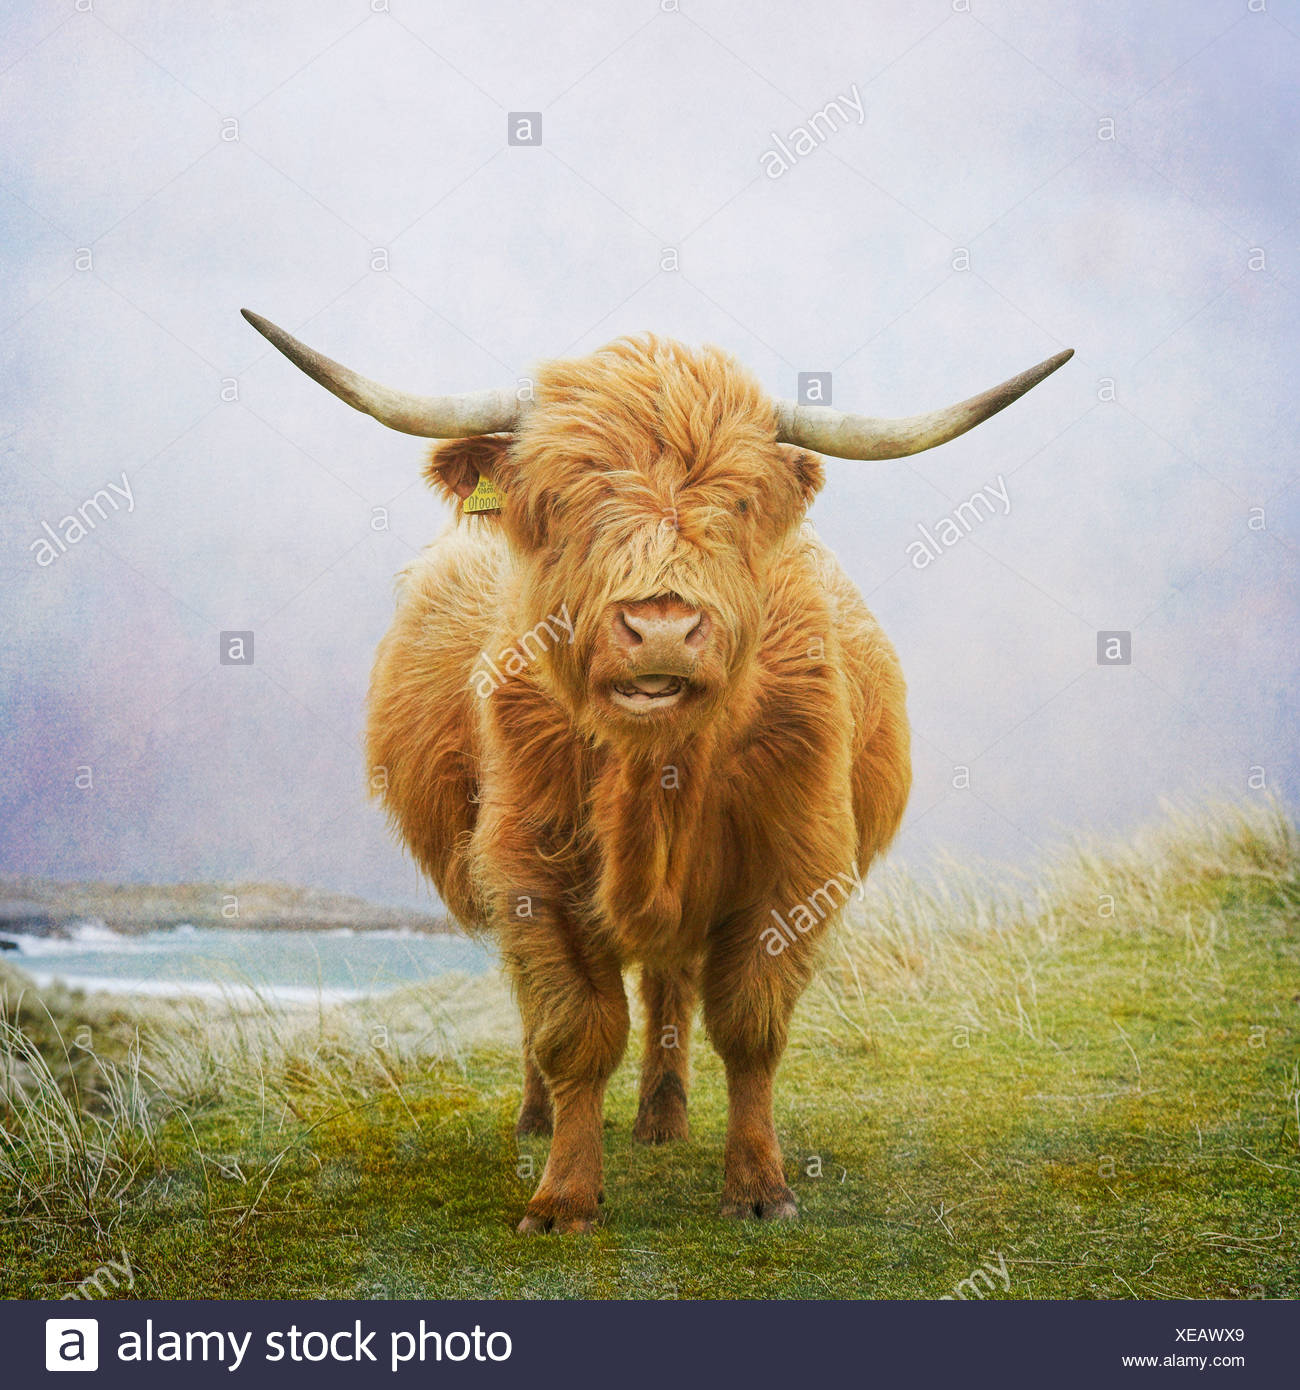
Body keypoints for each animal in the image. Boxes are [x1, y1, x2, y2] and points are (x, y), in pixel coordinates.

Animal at [242, 309, 1071, 1233]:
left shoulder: (794, 870)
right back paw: (538, 1118)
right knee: (542, 1005)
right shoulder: (527, 870)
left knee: (670, 985)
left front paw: (758, 1185)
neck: (660, 776)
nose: (663, 629)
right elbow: (574, 1028)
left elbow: (750, 1027)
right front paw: (563, 1196)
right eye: (561, 501)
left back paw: (664, 1119)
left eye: (739, 503)